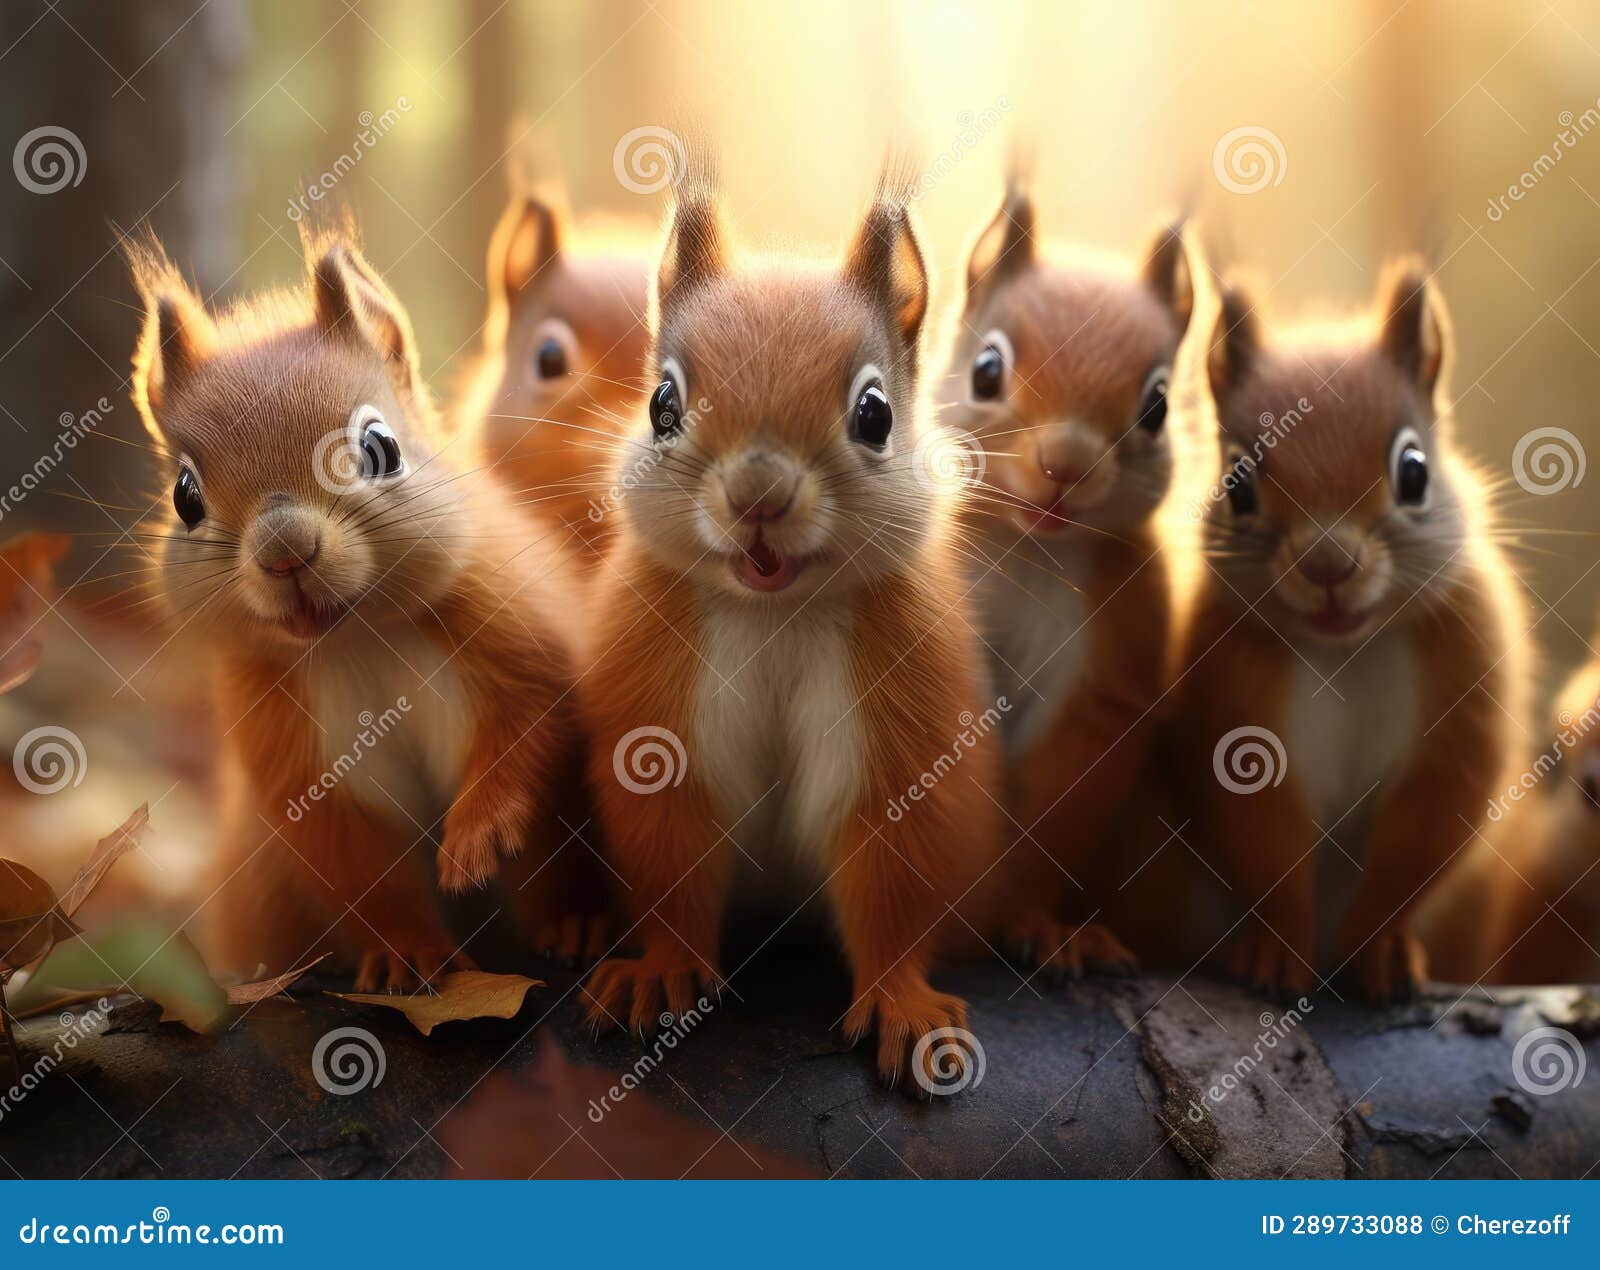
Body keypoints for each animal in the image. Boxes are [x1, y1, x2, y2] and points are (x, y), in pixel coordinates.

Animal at [128, 228, 604, 991]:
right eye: (185, 497)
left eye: (380, 447)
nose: (285, 552)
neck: (358, 637)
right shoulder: (295, 749)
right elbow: (357, 865)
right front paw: (410, 953)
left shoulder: (519, 630)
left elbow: (530, 729)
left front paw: (478, 836)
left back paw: (577, 925)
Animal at [577, 161, 1003, 1090]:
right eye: (662, 405)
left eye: (875, 415)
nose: (758, 497)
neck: (774, 612)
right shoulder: (663, 718)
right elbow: (672, 850)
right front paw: (663, 970)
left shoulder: (895, 726)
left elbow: (889, 866)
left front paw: (903, 1004)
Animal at [939, 179, 1192, 977]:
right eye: (987, 370)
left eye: (1158, 406)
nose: (1066, 465)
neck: (1035, 552)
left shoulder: (1110, 672)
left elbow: (1059, 806)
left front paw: (1033, 923)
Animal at [1174, 259, 1528, 999]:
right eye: (1237, 484)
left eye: (1415, 472)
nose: (1329, 567)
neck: (1346, 651)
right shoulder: (1237, 709)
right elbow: (1265, 842)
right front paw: (1276, 951)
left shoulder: (1460, 694)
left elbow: (1417, 847)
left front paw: (1379, 949)